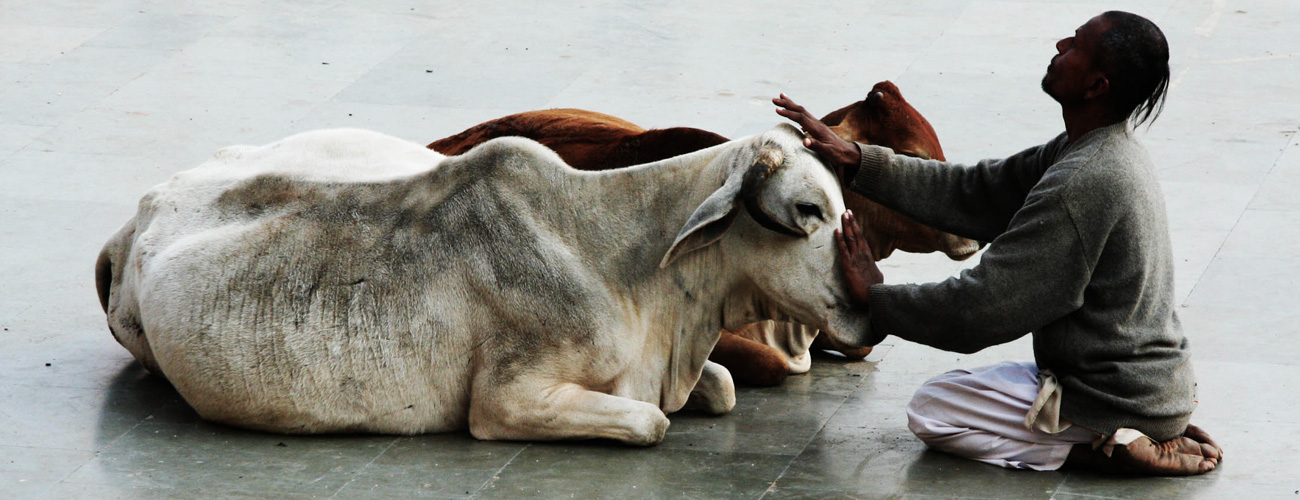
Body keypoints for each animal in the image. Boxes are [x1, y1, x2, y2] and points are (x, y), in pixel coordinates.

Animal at [95, 124, 871, 445]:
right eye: (808, 211)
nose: (869, 311)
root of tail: (138, 216)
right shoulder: (507, 399)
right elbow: (651, 422)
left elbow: (724, 385)